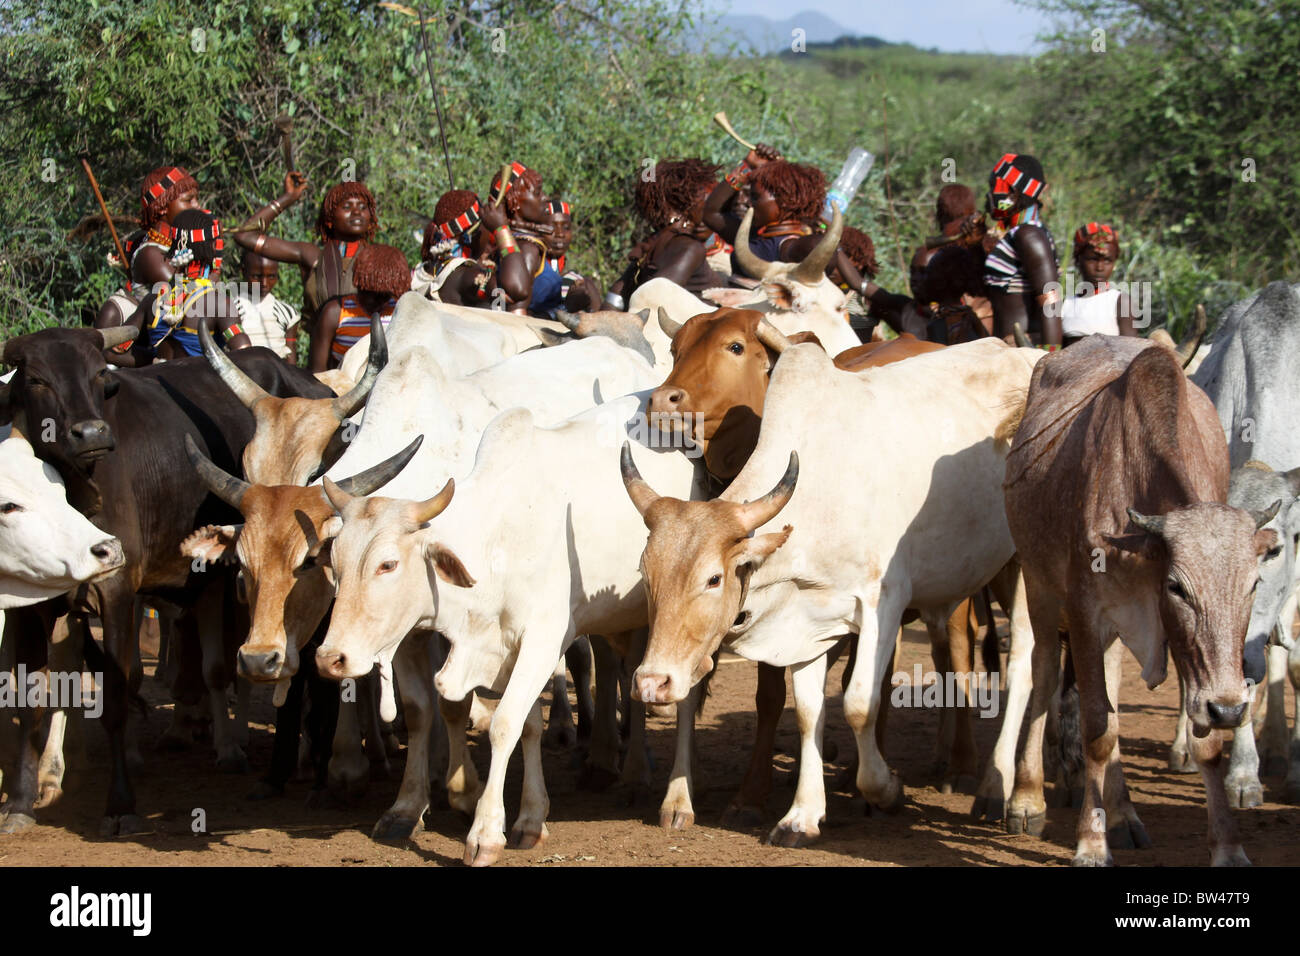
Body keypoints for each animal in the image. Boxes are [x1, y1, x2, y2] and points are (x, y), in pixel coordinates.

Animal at [621, 338, 1040, 846]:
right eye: (646, 572)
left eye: (713, 579)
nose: (651, 684)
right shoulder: (808, 621)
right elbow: (808, 711)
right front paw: (801, 816)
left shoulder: (884, 603)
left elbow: (859, 704)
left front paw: (886, 790)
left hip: (1025, 568)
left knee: (1026, 667)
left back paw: (1004, 792)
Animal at [1003, 335, 1276, 866]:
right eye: (1177, 587)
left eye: (1253, 584)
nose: (1232, 709)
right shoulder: (1085, 614)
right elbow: (1096, 729)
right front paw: (1090, 843)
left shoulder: (1193, 655)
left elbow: (1204, 741)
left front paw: (1228, 845)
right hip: (1039, 585)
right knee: (1043, 674)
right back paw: (1026, 798)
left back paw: (1124, 814)